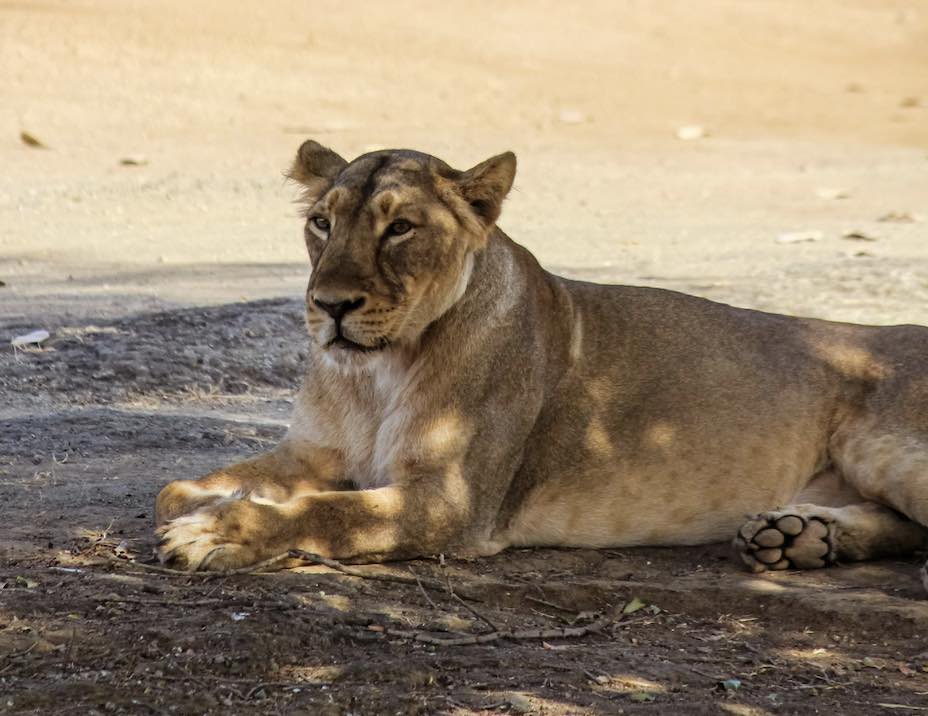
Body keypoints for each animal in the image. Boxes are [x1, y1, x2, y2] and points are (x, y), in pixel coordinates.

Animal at [156, 141, 928, 590]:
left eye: (400, 227)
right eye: (322, 221)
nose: (330, 306)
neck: (377, 372)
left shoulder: (452, 502)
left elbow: (327, 513)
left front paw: (219, 530)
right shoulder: (314, 453)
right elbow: (174, 487)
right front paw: (209, 503)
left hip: (889, 449)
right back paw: (799, 539)